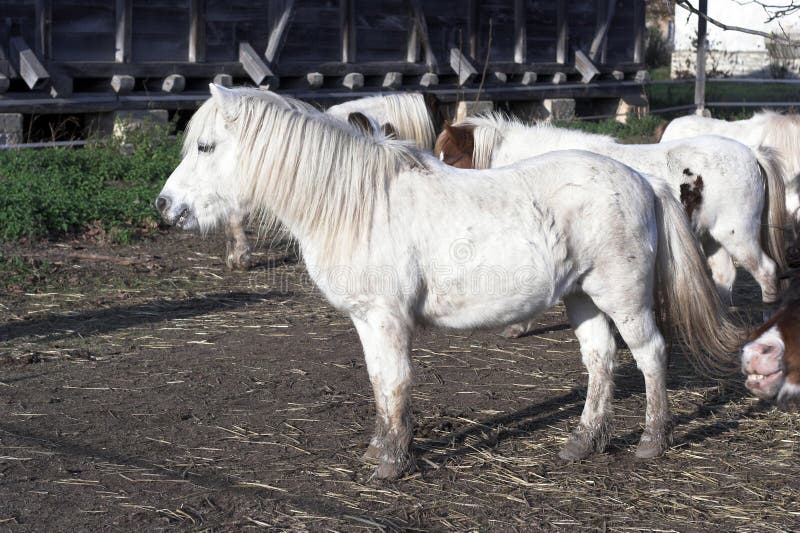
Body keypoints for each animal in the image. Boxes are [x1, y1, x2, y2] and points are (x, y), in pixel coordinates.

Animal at [156, 85, 743, 480]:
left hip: (622, 297)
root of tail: (644, 181)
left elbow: (396, 384)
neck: (359, 203)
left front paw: (392, 464)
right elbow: (378, 383)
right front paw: (379, 450)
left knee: (651, 355)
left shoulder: (387, 319)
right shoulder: (367, 321)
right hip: (582, 298)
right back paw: (583, 443)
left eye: (206, 147)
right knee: (600, 360)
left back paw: (652, 441)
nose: (164, 207)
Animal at [435, 115, 788, 337]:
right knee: (725, 276)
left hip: (738, 234)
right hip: (713, 236)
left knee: (767, 271)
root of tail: (751, 153)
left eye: (451, 159)